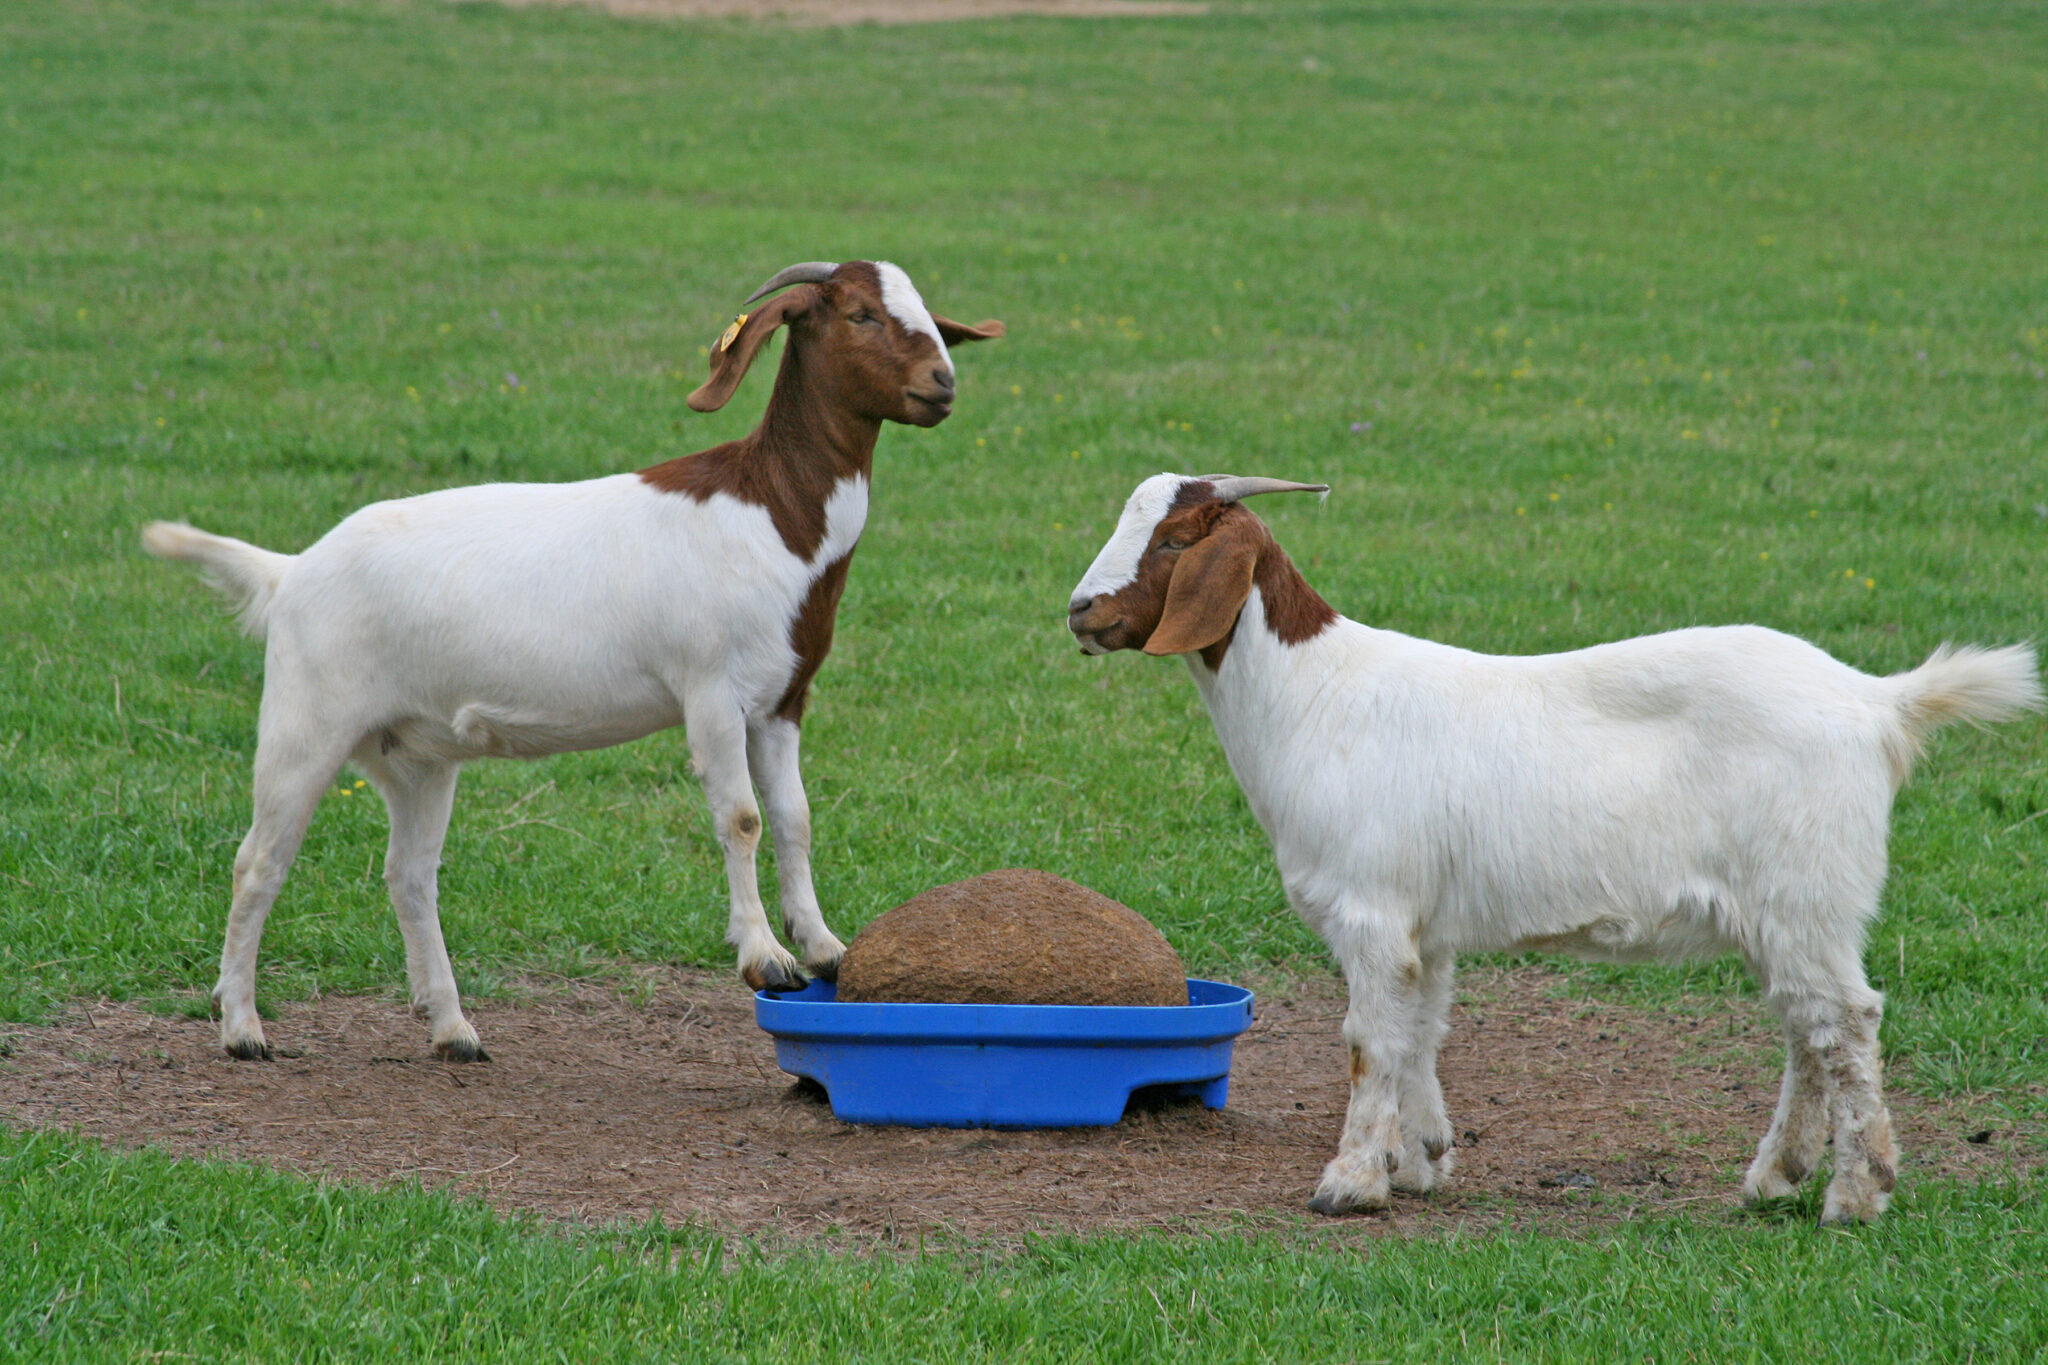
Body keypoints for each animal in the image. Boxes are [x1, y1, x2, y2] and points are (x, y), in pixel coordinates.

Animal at [143, 260, 1003, 1062]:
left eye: (930, 318)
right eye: (860, 314)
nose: (943, 384)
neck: (774, 513)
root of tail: (288, 571)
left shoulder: (783, 698)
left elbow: (795, 816)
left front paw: (822, 944)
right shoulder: (711, 690)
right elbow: (742, 816)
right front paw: (765, 955)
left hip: (415, 755)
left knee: (410, 875)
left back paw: (453, 1027)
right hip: (306, 718)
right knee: (259, 862)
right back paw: (243, 1026)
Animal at [1068, 473, 2041, 1223]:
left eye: (1172, 542)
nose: (1079, 611)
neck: (1313, 695)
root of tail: (1879, 703)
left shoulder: (1373, 909)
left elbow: (1368, 1041)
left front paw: (1349, 1183)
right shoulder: (1424, 927)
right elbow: (1420, 1033)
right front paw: (1421, 1159)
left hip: (1806, 885)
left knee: (1846, 1022)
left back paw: (1855, 1192)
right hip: (1790, 908)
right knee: (1809, 1024)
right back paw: (1778, 1176)